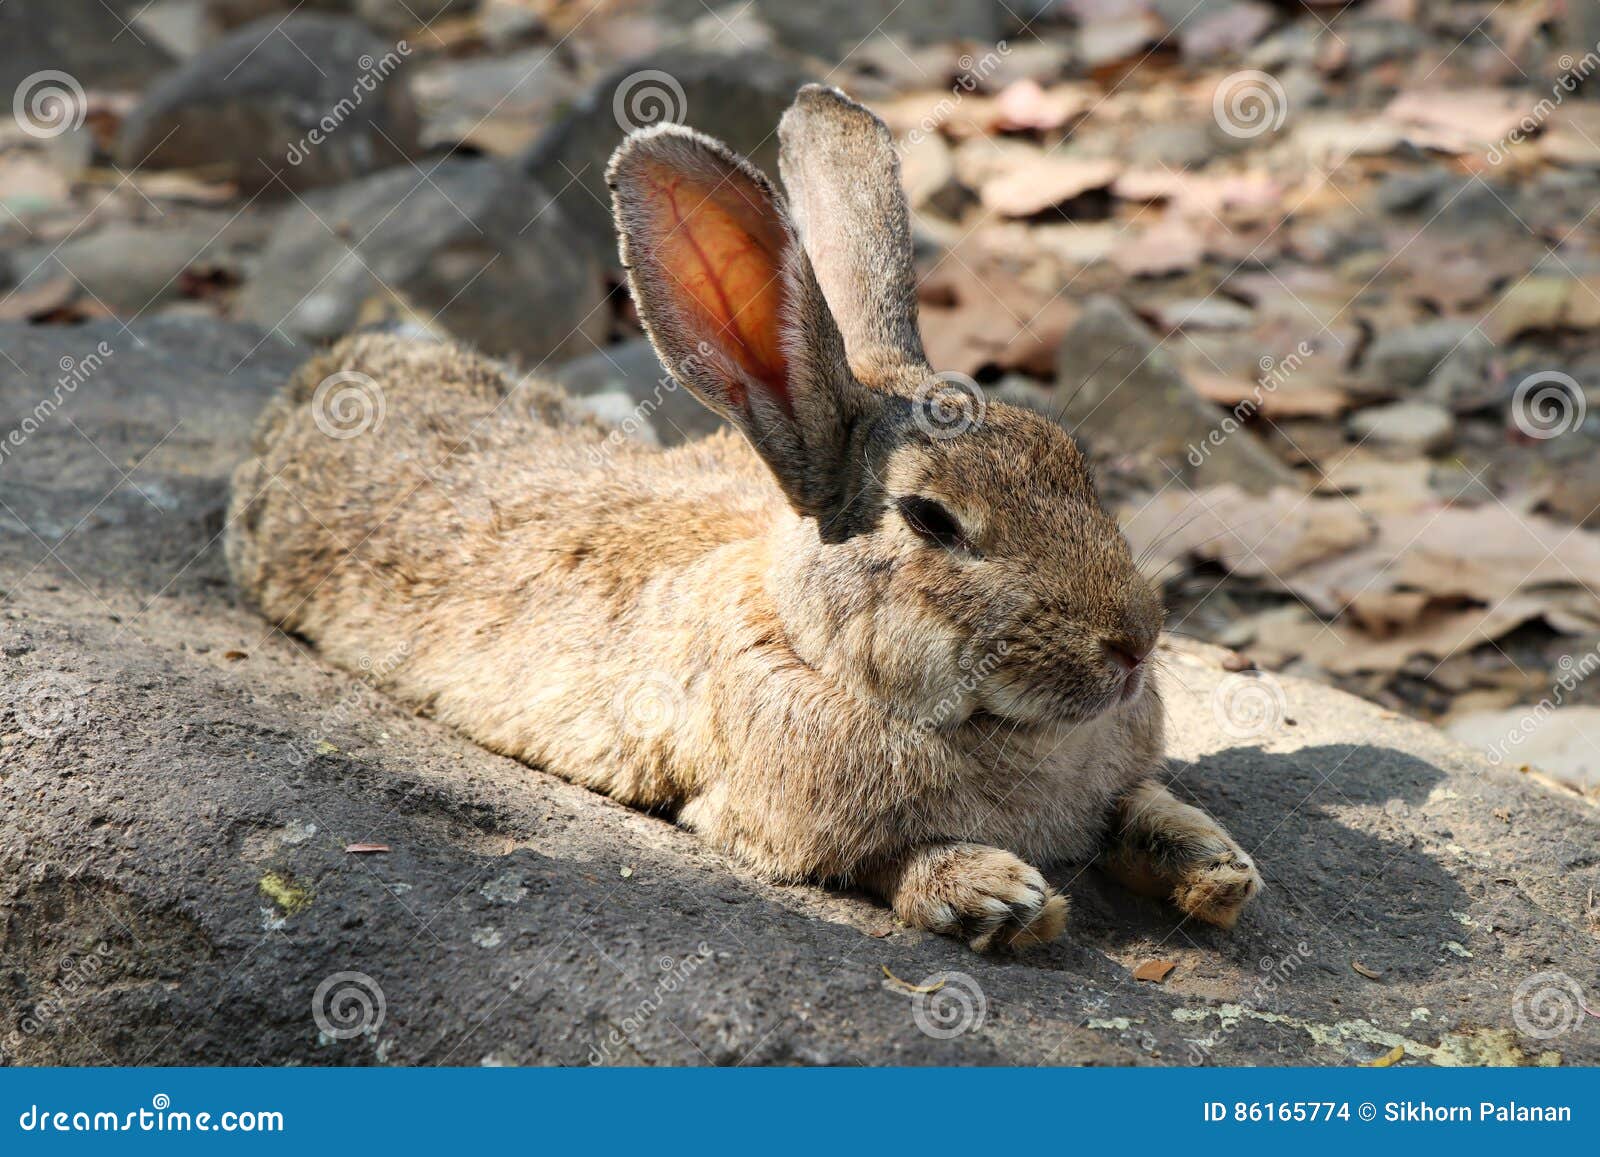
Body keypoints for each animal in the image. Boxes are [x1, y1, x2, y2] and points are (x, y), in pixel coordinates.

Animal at [226, 84, 1261, 951]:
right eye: (930, 519)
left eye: (1070, 458)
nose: (1132, 644)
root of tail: (324, 381)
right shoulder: (769, 816)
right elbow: (886, 861)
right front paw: (1001, 897)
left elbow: (1149, 809)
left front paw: (1221, 870)